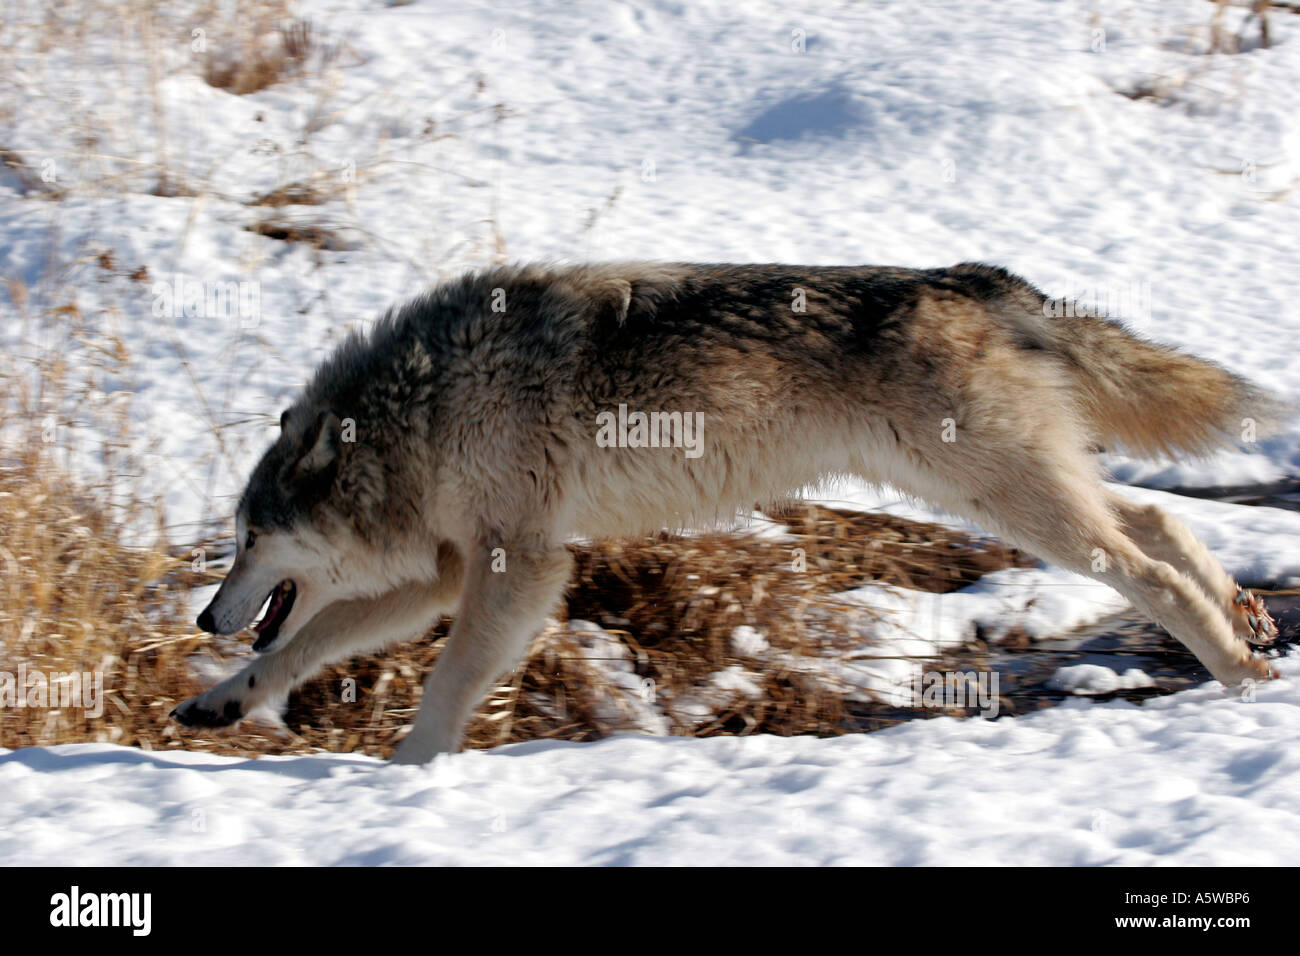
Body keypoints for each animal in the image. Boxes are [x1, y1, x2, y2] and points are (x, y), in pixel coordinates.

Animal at [172, 262, 1288, 763]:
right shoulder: (451, 570)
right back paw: (1250, 627)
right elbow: (304, 642)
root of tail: (981, 282)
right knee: (1161, 524)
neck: (426, 408)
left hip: (1001, 495)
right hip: (1008, 494)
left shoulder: (518, 567)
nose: (202, 615)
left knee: (1144, 563)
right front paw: (220, 701)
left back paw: (1239, 670)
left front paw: (407, 773)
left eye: (248, 537)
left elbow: (441, 688)